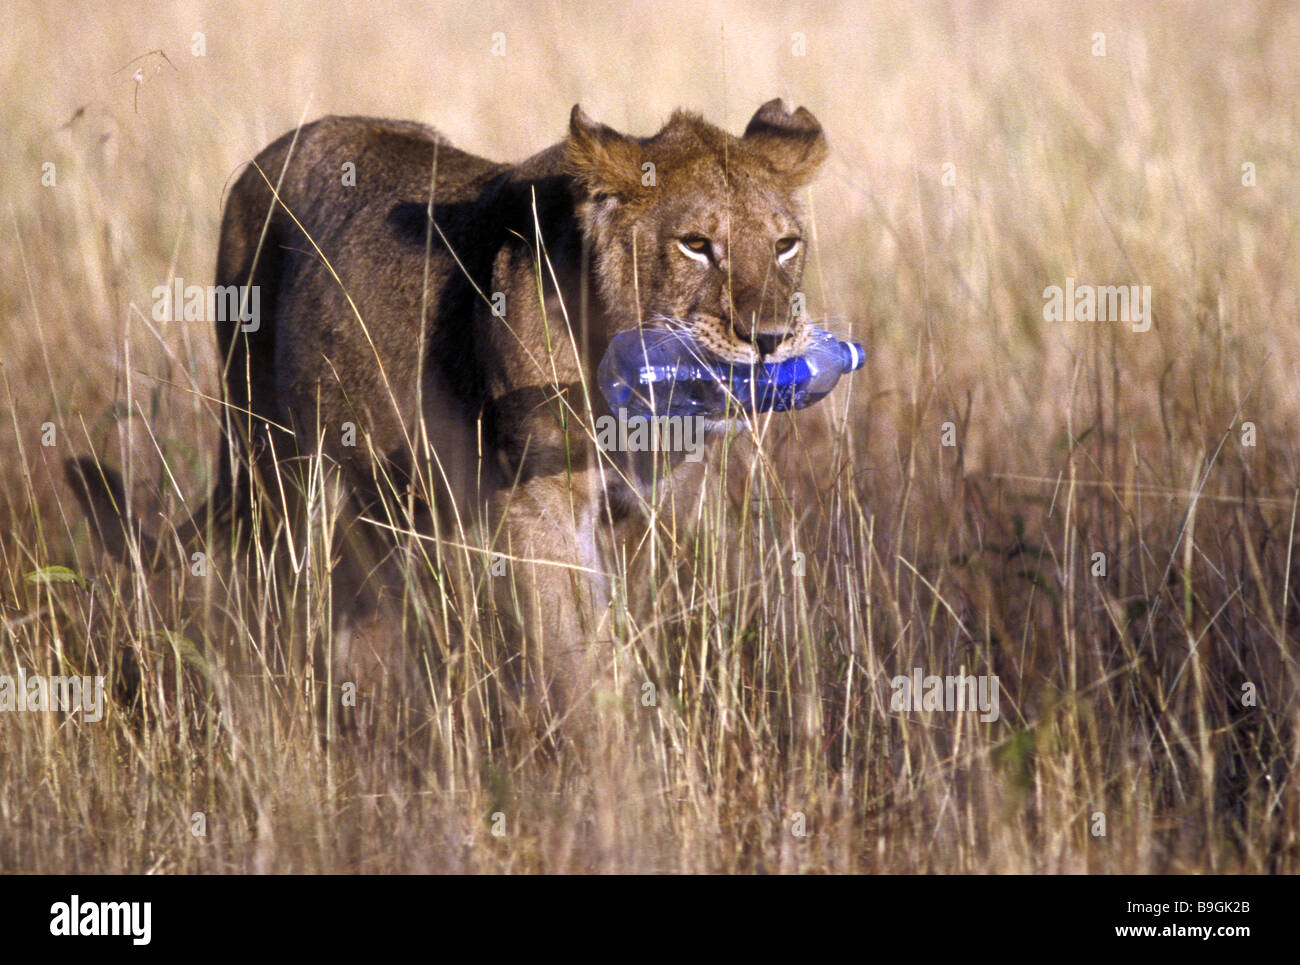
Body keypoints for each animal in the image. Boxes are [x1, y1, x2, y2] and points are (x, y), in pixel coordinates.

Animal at [66, 99, 829, 742]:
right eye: (696, 244)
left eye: (786, 245)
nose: (769, 339)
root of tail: (270, 154)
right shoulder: (540, 507)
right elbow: (576, 659)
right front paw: (612, 781)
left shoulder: (644, 510)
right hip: (277, 465)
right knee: (281, 598)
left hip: (384, 490)